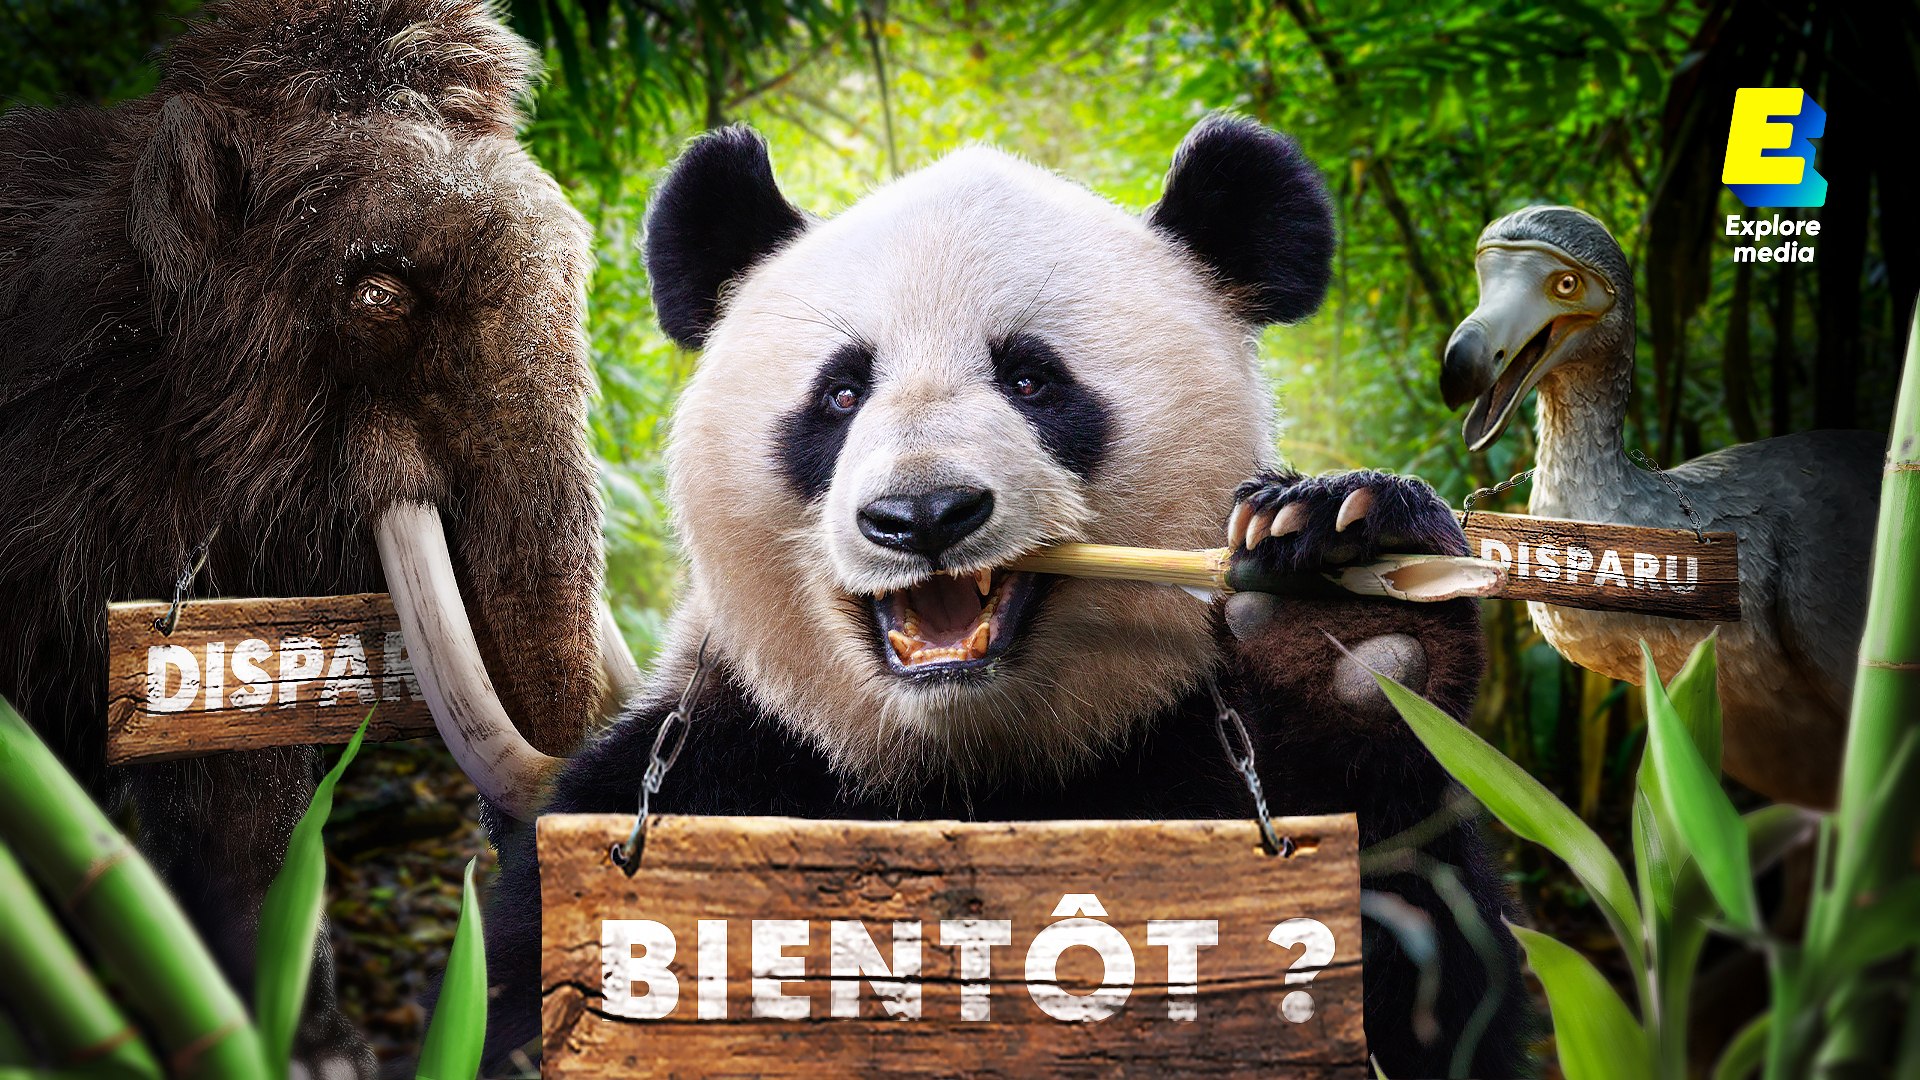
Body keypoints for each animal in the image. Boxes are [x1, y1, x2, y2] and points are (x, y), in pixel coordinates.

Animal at [482, 115, 1531, 1076]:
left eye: (1031, 378)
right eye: (840, 394)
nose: (922, 515)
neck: (968, 774)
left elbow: (1420, 983)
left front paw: (1347, 612)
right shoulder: (709, 765)